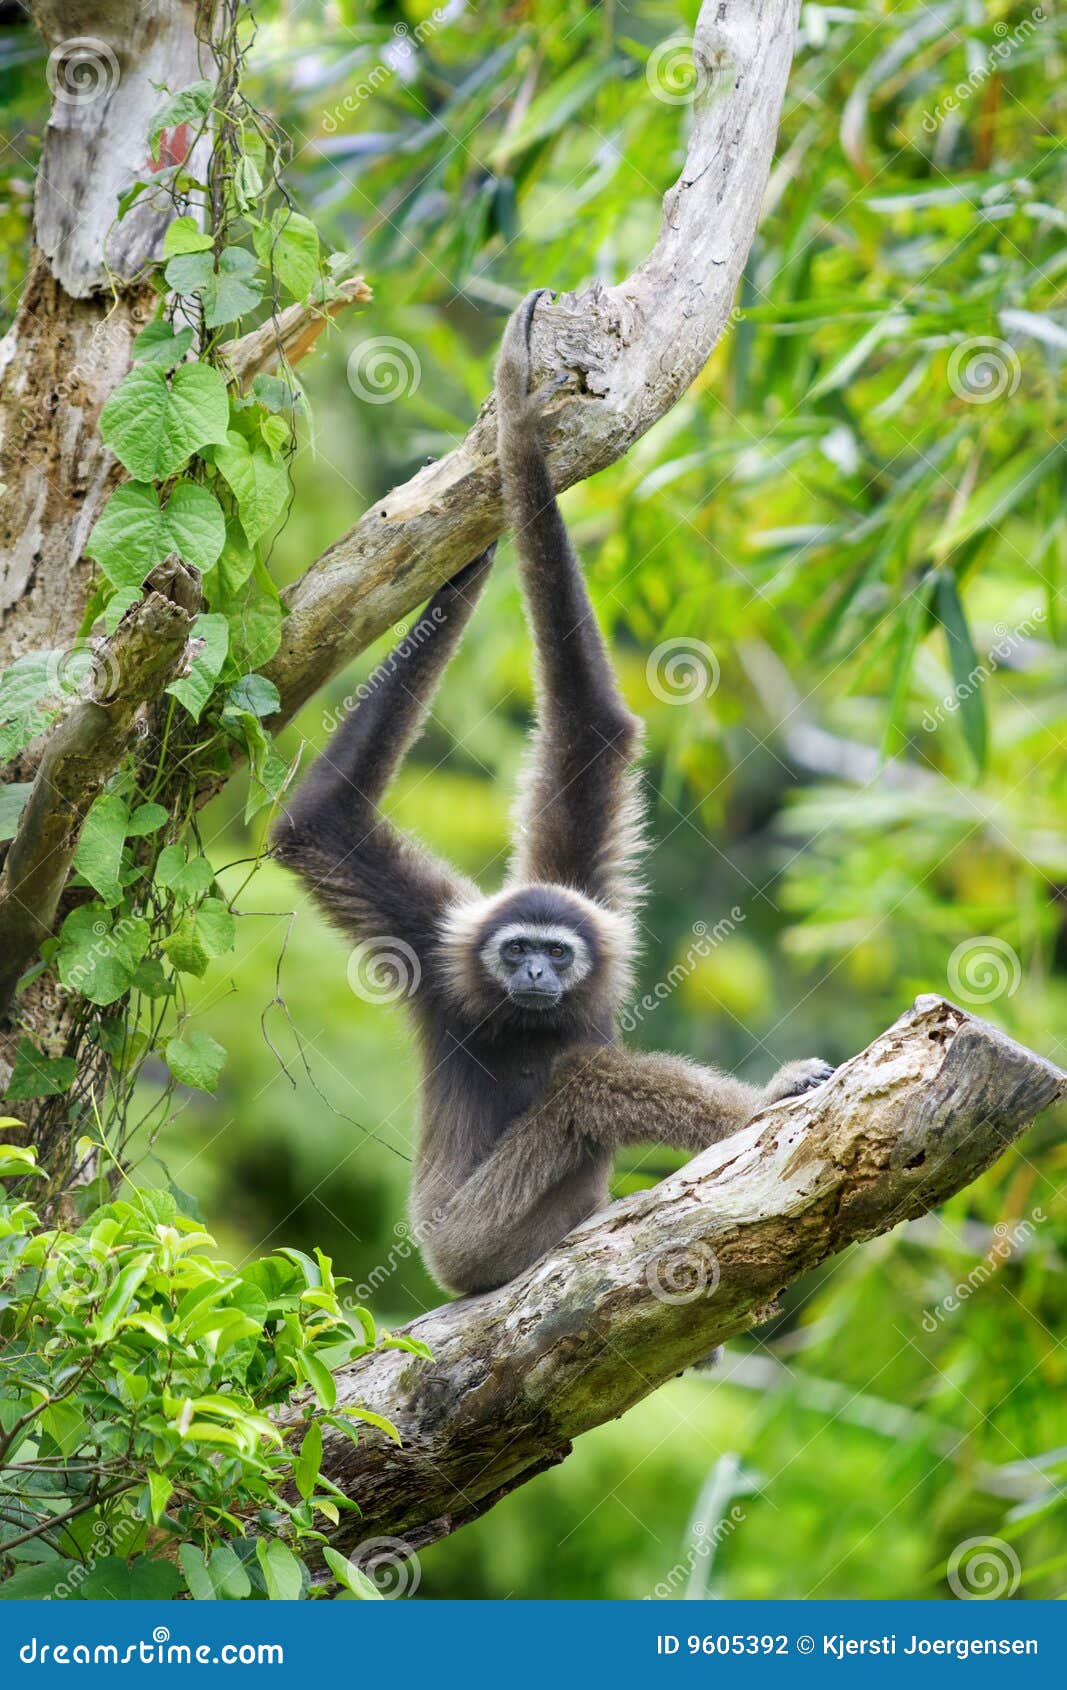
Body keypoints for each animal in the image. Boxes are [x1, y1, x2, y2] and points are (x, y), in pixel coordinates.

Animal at [273, 289, 833, 1297]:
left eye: (556, 954)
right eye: (518, 951)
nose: (534, 974)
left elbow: (588, 727)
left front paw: (469, 558)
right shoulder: (431, 947)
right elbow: (318, 825)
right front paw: (513, 403)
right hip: (472, 1239)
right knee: (585, 1086)